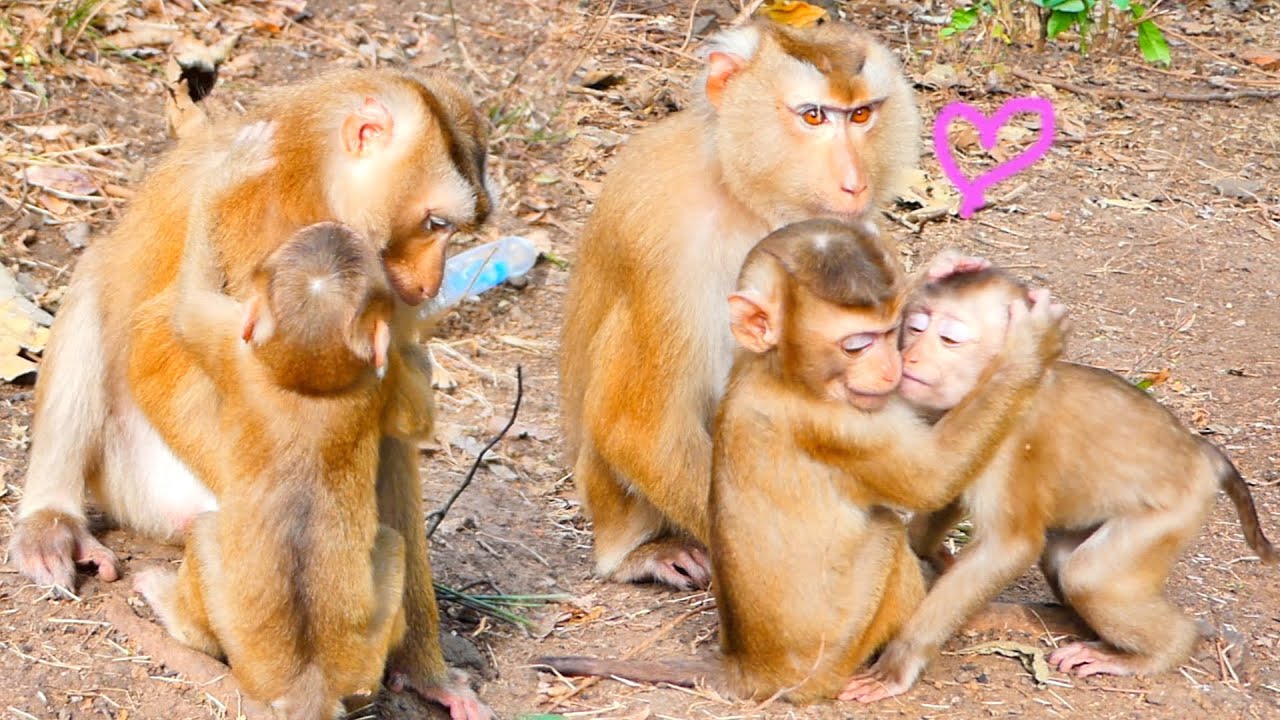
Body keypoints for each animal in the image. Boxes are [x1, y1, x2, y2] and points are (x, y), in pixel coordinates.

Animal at [8, 69, 492, 720]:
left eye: (452, 231)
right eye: (435, 224)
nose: (432, 283)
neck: (317, 173)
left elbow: (386, 430)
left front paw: (425, 670)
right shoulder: (265, 220)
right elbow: (159, 347)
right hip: (136, 479)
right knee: (94, 283)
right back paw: (53, 522)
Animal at [540, 219, 1068, 701]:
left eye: (892, 333)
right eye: (857, 344)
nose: (890, 369)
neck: (779, 371)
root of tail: (749, 668)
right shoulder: (835, 427)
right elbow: (931, 478)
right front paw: (1028, 348)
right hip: (832, 657)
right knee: (884, 532)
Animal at [559, 18, 921, 590]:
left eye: (862, 114)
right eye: (813, 115)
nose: (854, 182)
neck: (743, 193)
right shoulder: (661, 241)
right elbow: (639, 430)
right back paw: (639, 552)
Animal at [840, 266, 1279, 703]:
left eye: (949, 339)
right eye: (915, 328)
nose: (910, 355)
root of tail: (1199, 450)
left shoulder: (1015, 441)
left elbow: (1009, 546)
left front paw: (899, 663)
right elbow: (947, 487)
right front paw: (939, 557)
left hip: (1174, 512)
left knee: (1088, 577)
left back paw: (1158, 651)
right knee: (1062, 559)